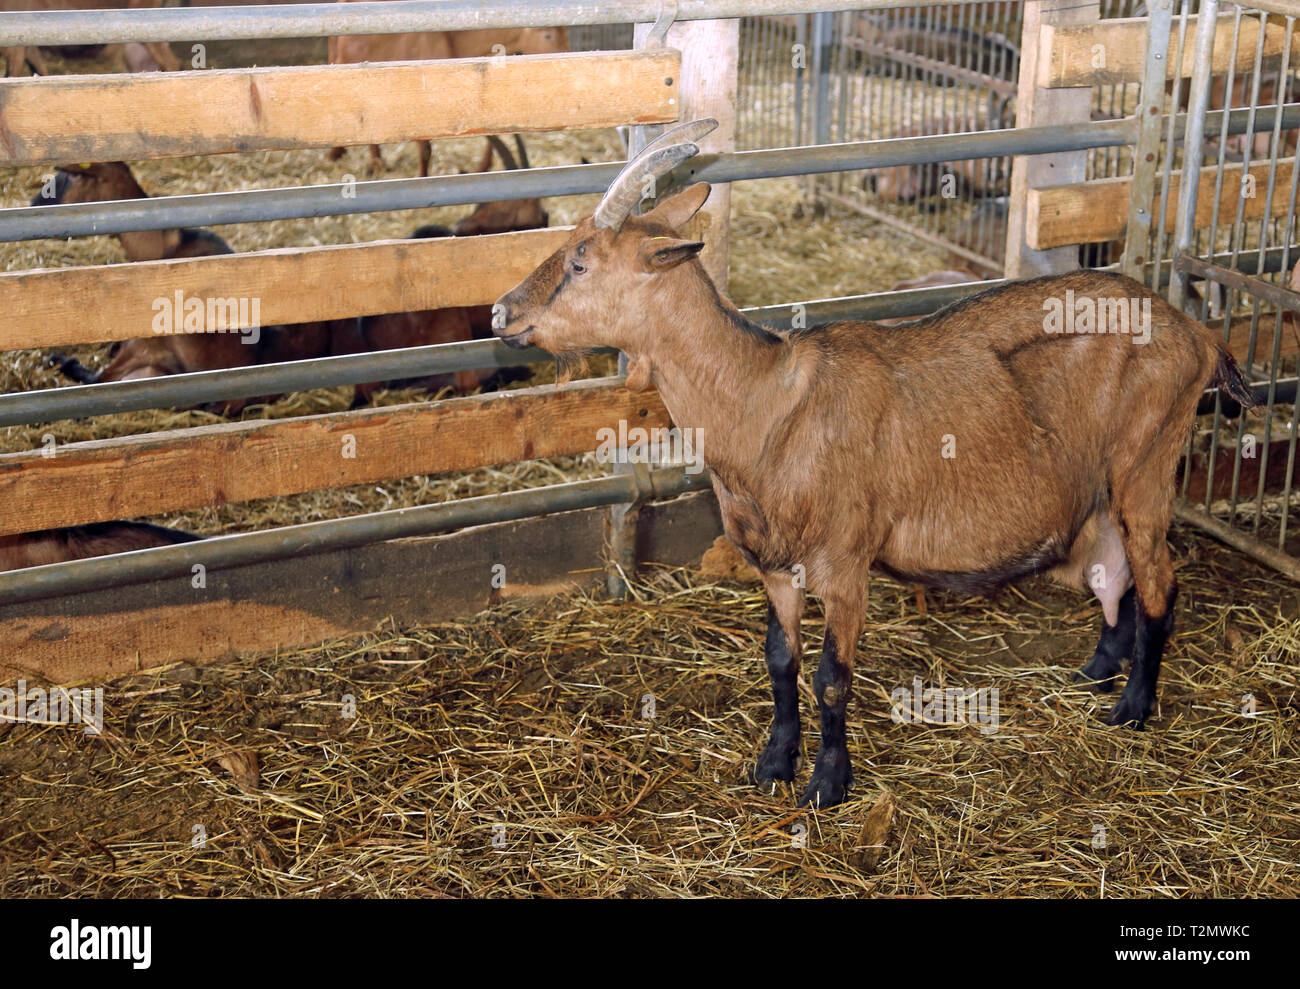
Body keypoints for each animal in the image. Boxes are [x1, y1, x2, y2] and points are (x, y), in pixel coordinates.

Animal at [491, 119, 1258, 808]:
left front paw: (827, 786)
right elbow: (780, 660)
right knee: (1114, 570)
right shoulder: (776, 565)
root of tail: (1196, 332)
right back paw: (1096, 669)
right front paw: (773, 764)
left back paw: (1132, 705)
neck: (768, 402)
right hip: (1100, 487)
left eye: (581, 259)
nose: (501, 311)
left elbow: (832, 675)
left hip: (1145, 465)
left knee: (1159, 579)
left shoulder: (846, 561)